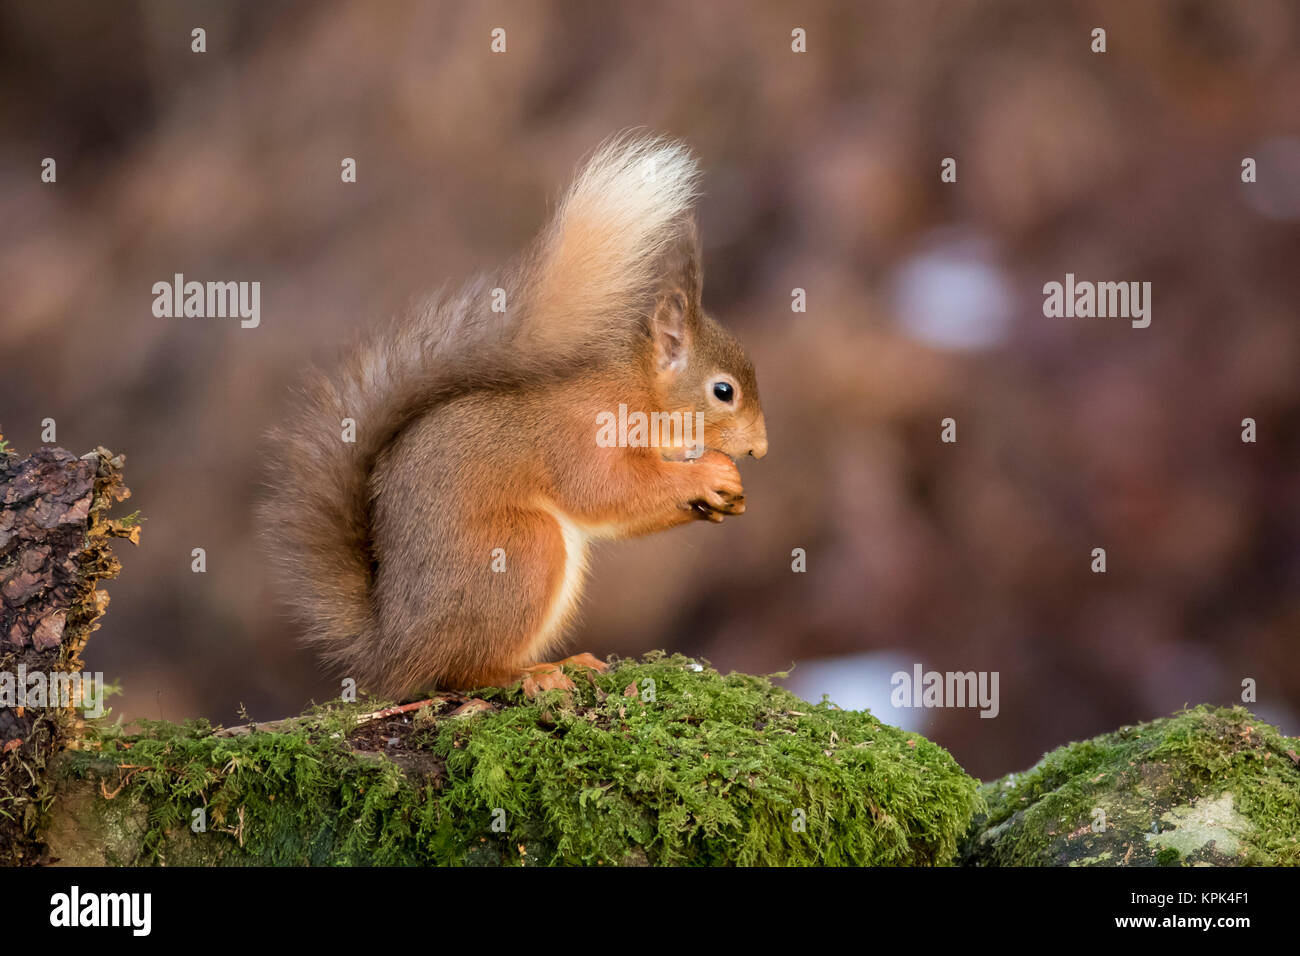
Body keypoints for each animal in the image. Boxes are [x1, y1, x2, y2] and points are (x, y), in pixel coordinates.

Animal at [261, 134, 768, 699]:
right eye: (723, 391)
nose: (760, 448)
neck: (637, 390)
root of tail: (394, 652)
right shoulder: (583, 432)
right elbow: (607, 491)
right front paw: (710, 473)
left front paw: (725, 497)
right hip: (521, 551)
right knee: (464, 672)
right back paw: (536, 675)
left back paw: (569, 662)